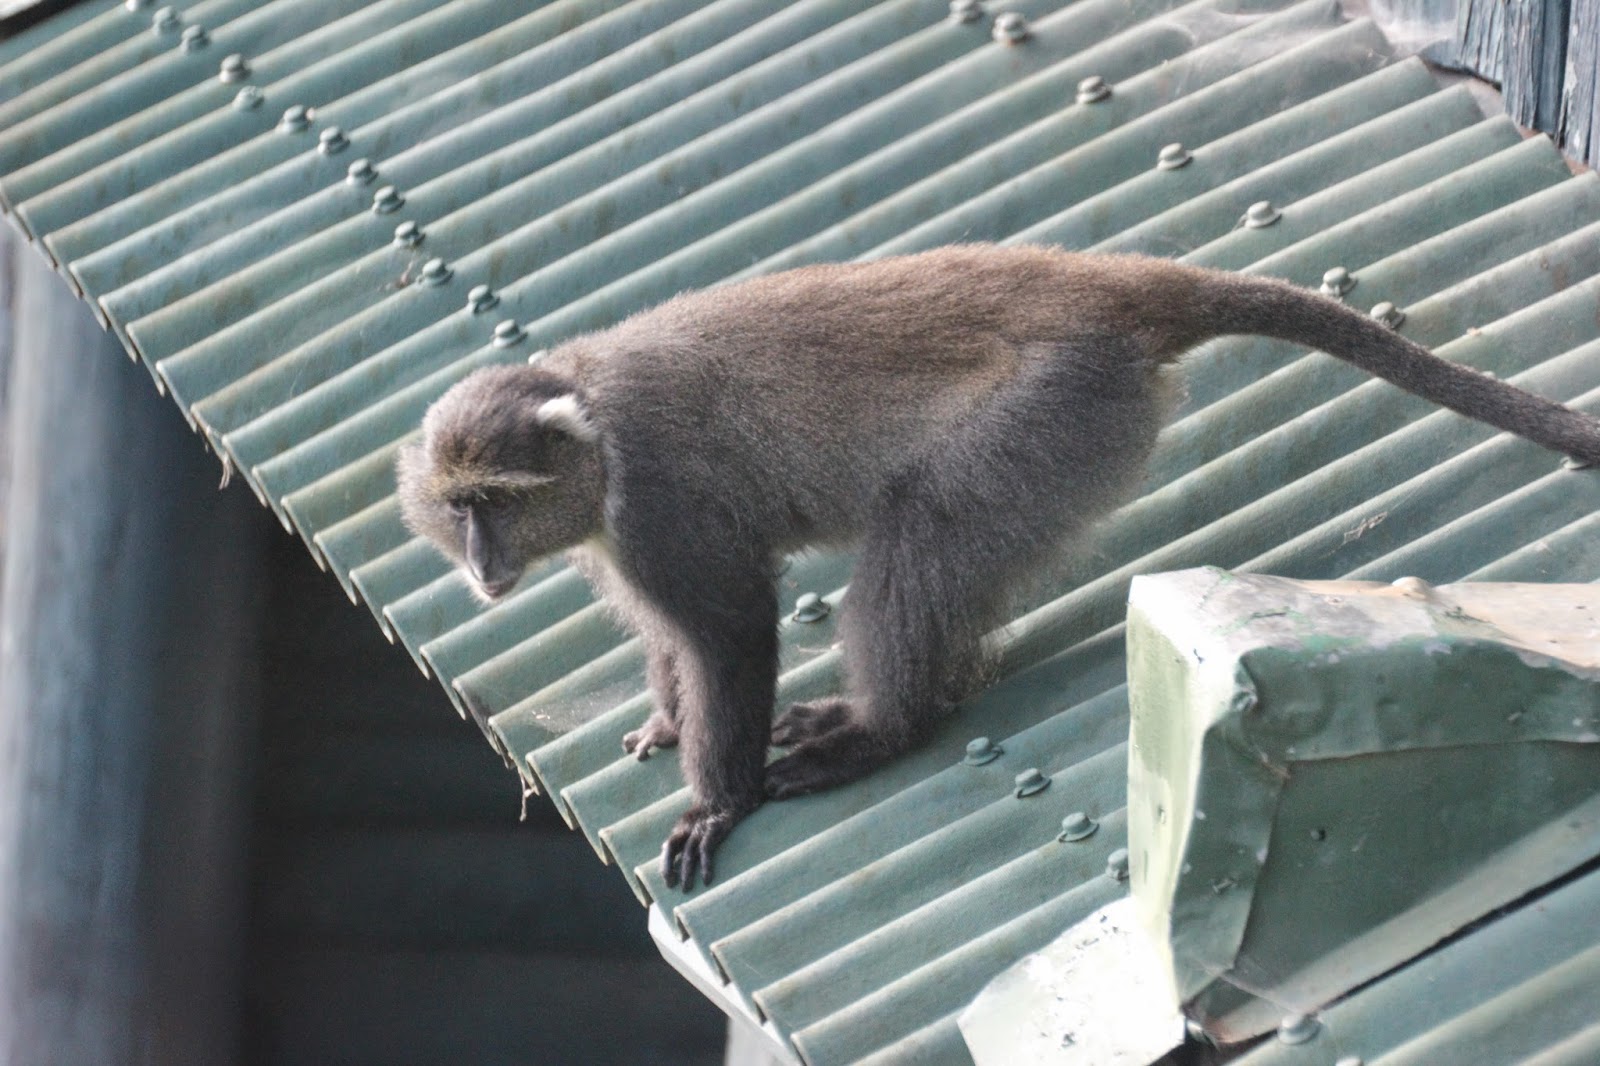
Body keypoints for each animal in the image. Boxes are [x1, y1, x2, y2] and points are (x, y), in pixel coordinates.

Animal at [396, 244, 1600, 891]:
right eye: (458, 508)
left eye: (497, 502)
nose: (483, 563)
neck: (590, 424)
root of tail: (1092, 285)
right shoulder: (618, 538)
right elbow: (669, 640)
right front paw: (662, 718)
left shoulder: (658, 507)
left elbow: (730, 628)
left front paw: (715, 799)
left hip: (1047, 420)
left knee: (922, 535)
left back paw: (882, 728)